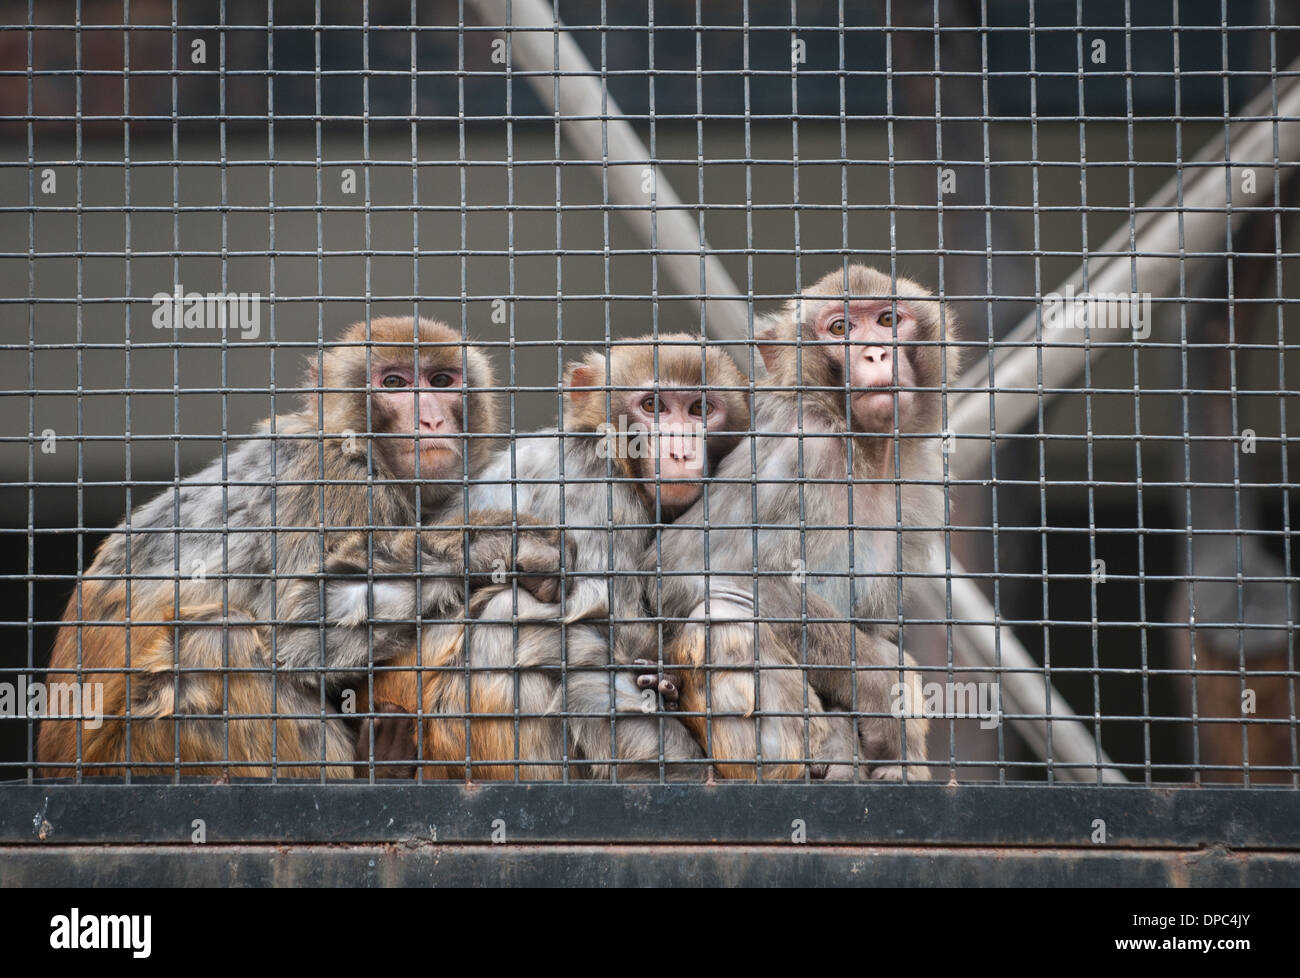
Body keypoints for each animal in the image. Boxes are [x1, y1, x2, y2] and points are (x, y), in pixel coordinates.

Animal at [37, 316, 568, 780]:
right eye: (394, 382)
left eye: (441, 380)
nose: (431, 419)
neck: (358, 446)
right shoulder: (338, 484)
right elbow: (297, 628)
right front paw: (495, 543)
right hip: (138, 754)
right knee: (219, 638)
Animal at [652, 265, 948, 781]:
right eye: (840, 329)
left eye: (888, 320)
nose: (875, 352)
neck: (861, 452)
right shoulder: (801, 453)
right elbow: (689, 570)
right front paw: (888, 698)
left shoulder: (916, 488)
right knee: (722, 613)